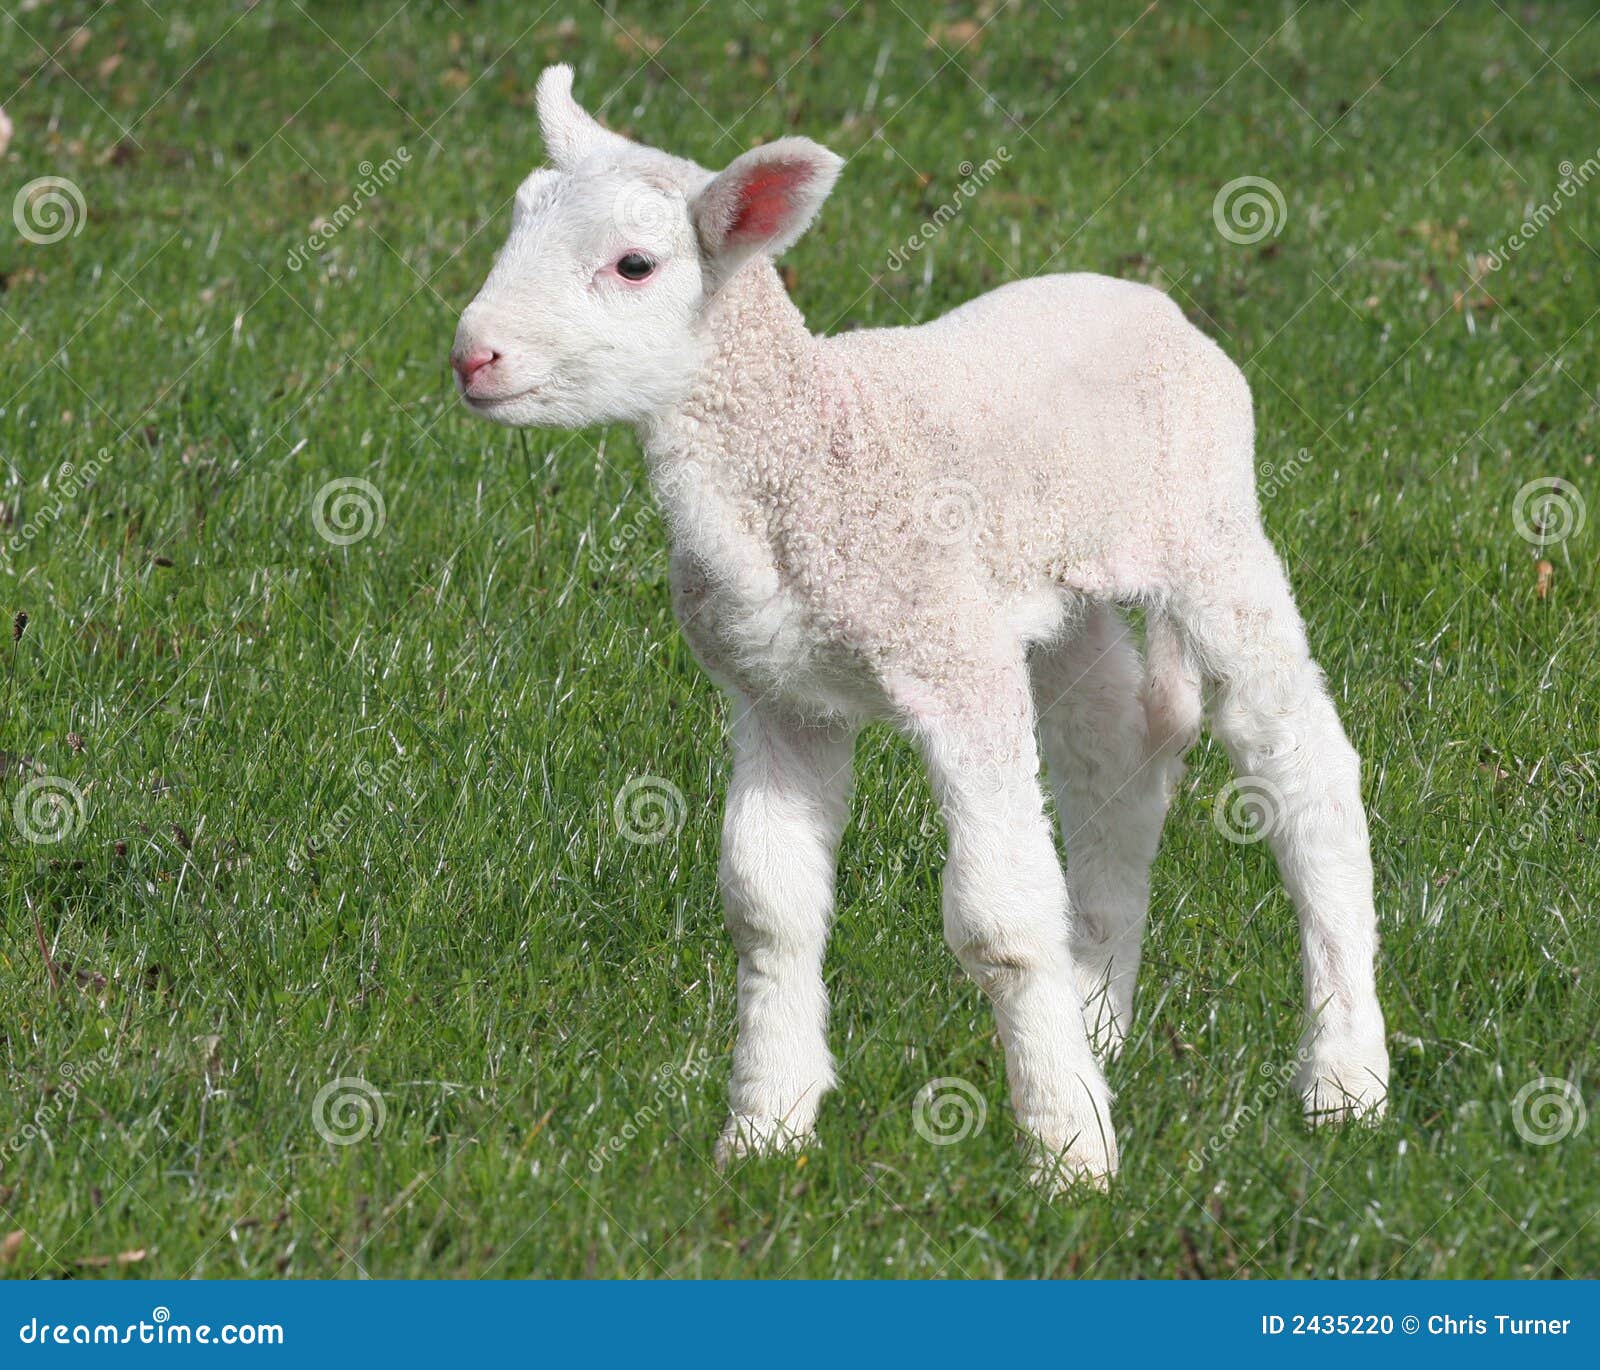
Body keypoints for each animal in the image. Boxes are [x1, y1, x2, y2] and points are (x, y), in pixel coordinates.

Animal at [451, 65, 1389, 1189]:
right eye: (516, 221)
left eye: (634, 265)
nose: (471, 356)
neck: (805, 445)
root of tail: (1154, 302)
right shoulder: (778, 694)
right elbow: (767, 906)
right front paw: (765, 1128)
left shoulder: (952, 664)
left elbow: (1000, 920)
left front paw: (1068, 1154)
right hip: (1057, 596)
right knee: (1114, 763)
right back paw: (1097, 1020)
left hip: (1207, 529)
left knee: (1301, 763)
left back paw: (1343, 1079)